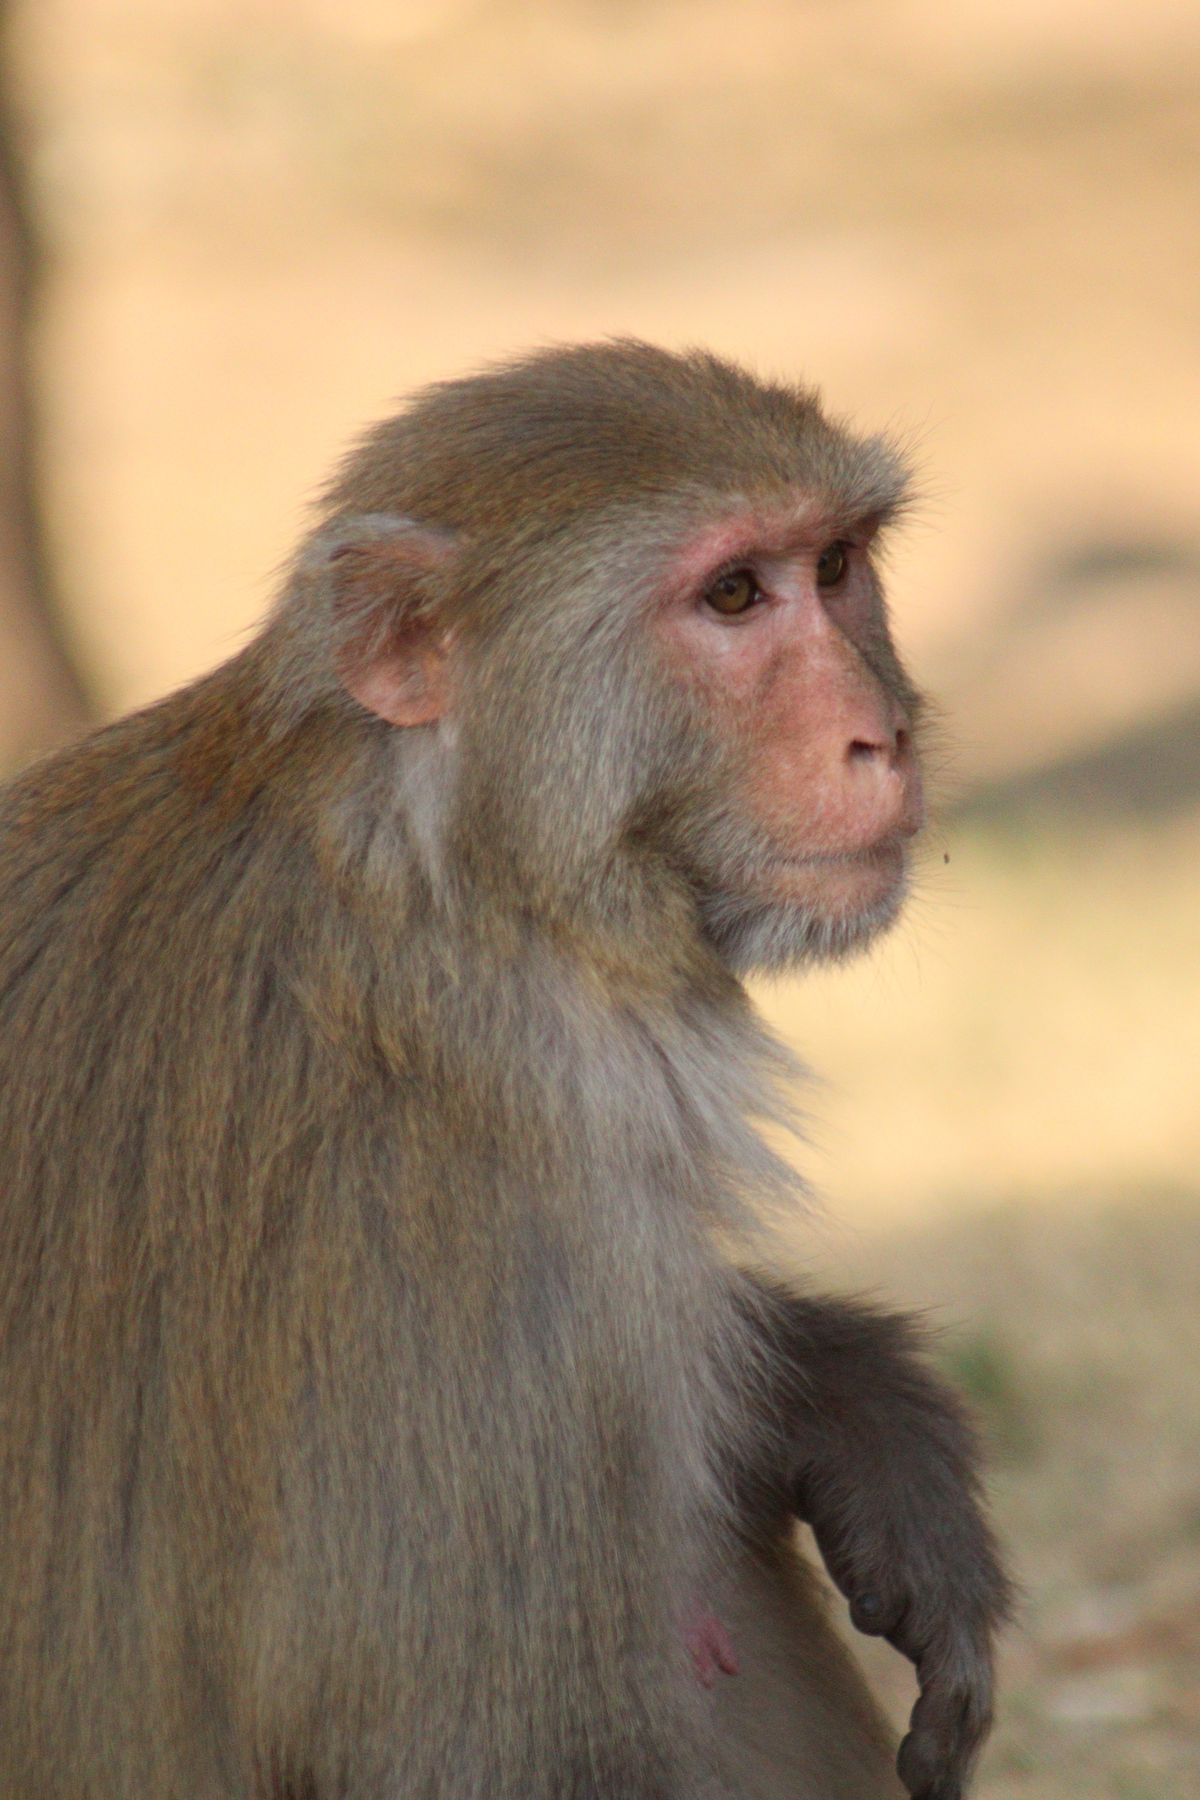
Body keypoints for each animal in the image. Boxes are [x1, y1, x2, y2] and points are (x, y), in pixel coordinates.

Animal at [0, 341, 1010, 1799]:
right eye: (733, 594)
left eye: (837, 566)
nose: (884, 734)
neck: (449, 872)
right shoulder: (453, 1227)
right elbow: (483, 1743)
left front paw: (862, 1409)